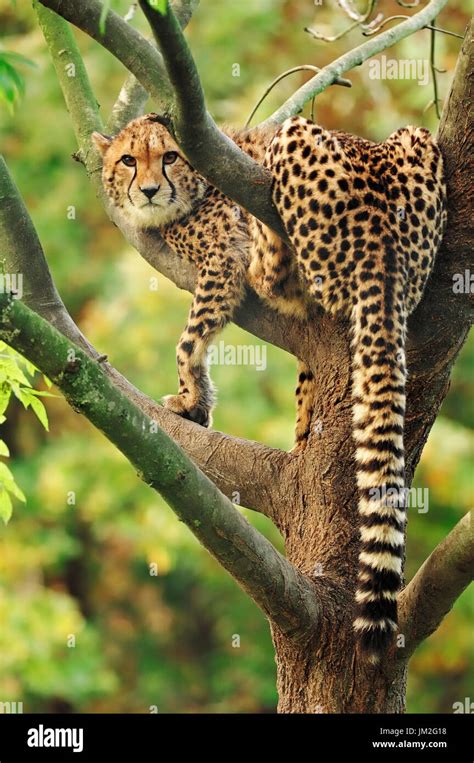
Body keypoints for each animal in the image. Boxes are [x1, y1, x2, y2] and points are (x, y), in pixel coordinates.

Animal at [91, 113, 444, 664]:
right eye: (128, 159)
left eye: (170, 156)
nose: (148, 190)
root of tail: (383, 238)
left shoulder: (218, 260)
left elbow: (189, 339)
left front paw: (190, 399)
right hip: (414, 140)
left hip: (296, 136)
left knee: (276, 272)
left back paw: (265, 249)